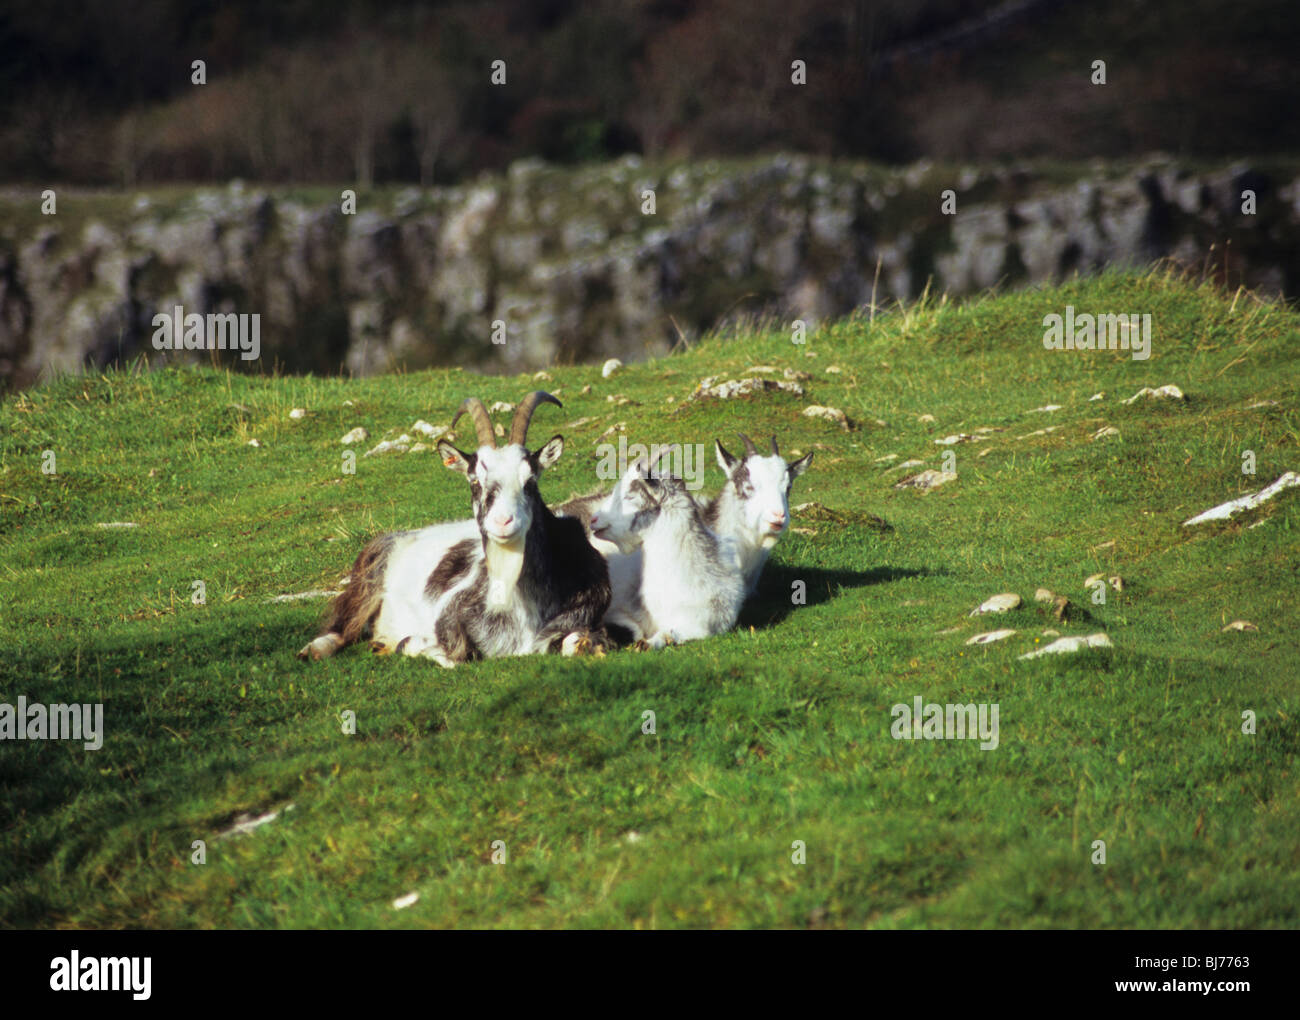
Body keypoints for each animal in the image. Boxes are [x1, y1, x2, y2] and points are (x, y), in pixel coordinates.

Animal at [299, 392, 610, 665]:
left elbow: (581, 644)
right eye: (474, 481)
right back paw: (314, 650)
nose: (503, 521)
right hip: (371, 575)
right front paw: (408, 643)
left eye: (530, 480)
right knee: (344, 624)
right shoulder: (449, 614)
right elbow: (458, 655)